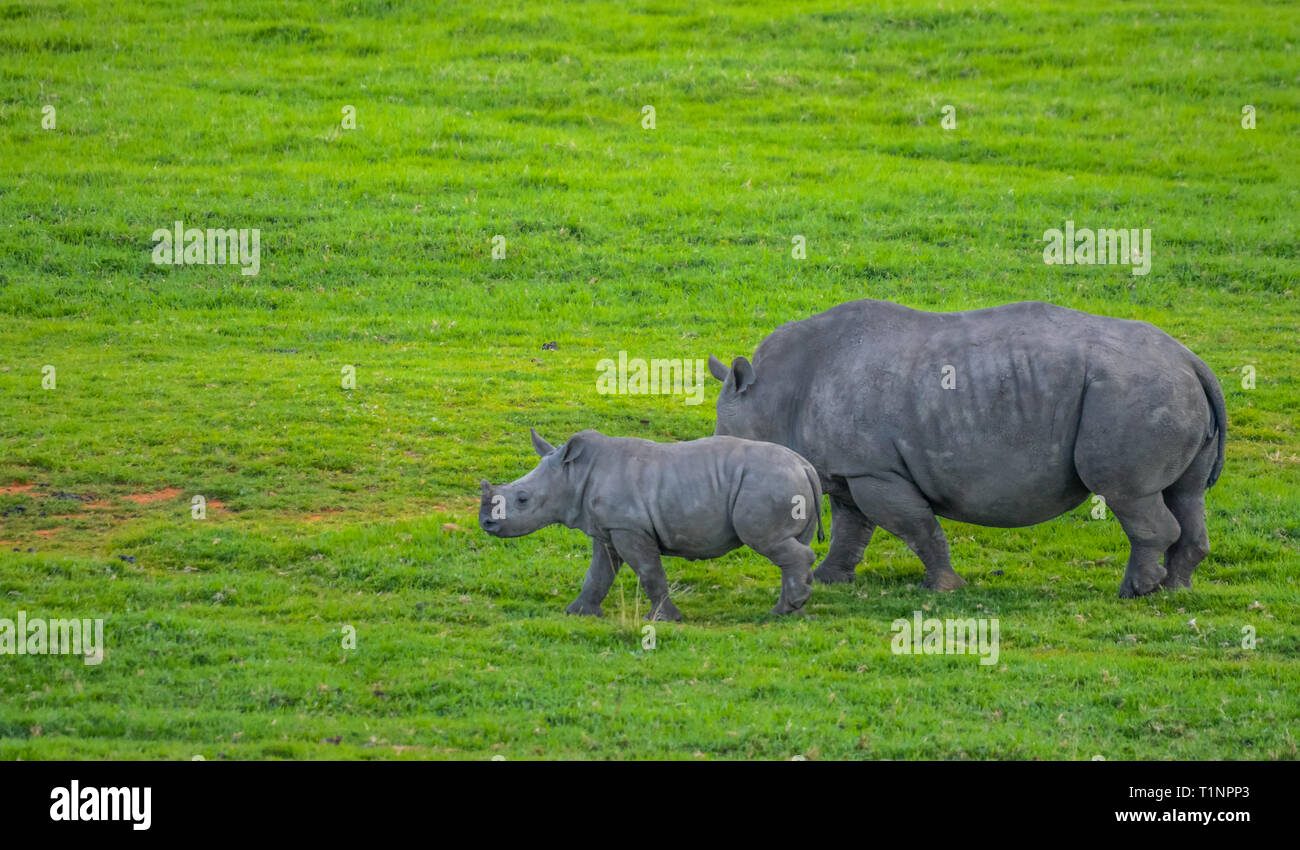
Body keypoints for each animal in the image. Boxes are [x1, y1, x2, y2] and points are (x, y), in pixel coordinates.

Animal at [478, 429, 824, 620]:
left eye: (522, 499)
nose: (486, 523)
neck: (573, 475)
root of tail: (806, 466)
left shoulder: (629, 528)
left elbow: (649, 572)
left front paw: (663, 619)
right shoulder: (608, 529)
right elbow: (598, 573)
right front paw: (577, 613)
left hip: (769, 483)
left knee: (769, 543)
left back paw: (785, 609)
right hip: (787, 482)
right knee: (790, 545)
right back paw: (791, 611)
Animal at [708, 299, 1226, 598]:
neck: (773, 392)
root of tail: (1193, 360)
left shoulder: (875, 469)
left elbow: (916, 526)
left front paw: (942, 588)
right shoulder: (852, 467)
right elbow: (851, 528)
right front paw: (832, 579)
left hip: (1135, 391)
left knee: (1126, 492)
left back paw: (1134, 592)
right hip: (1165, 387)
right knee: (1186, 494)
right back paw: (1175, 591)